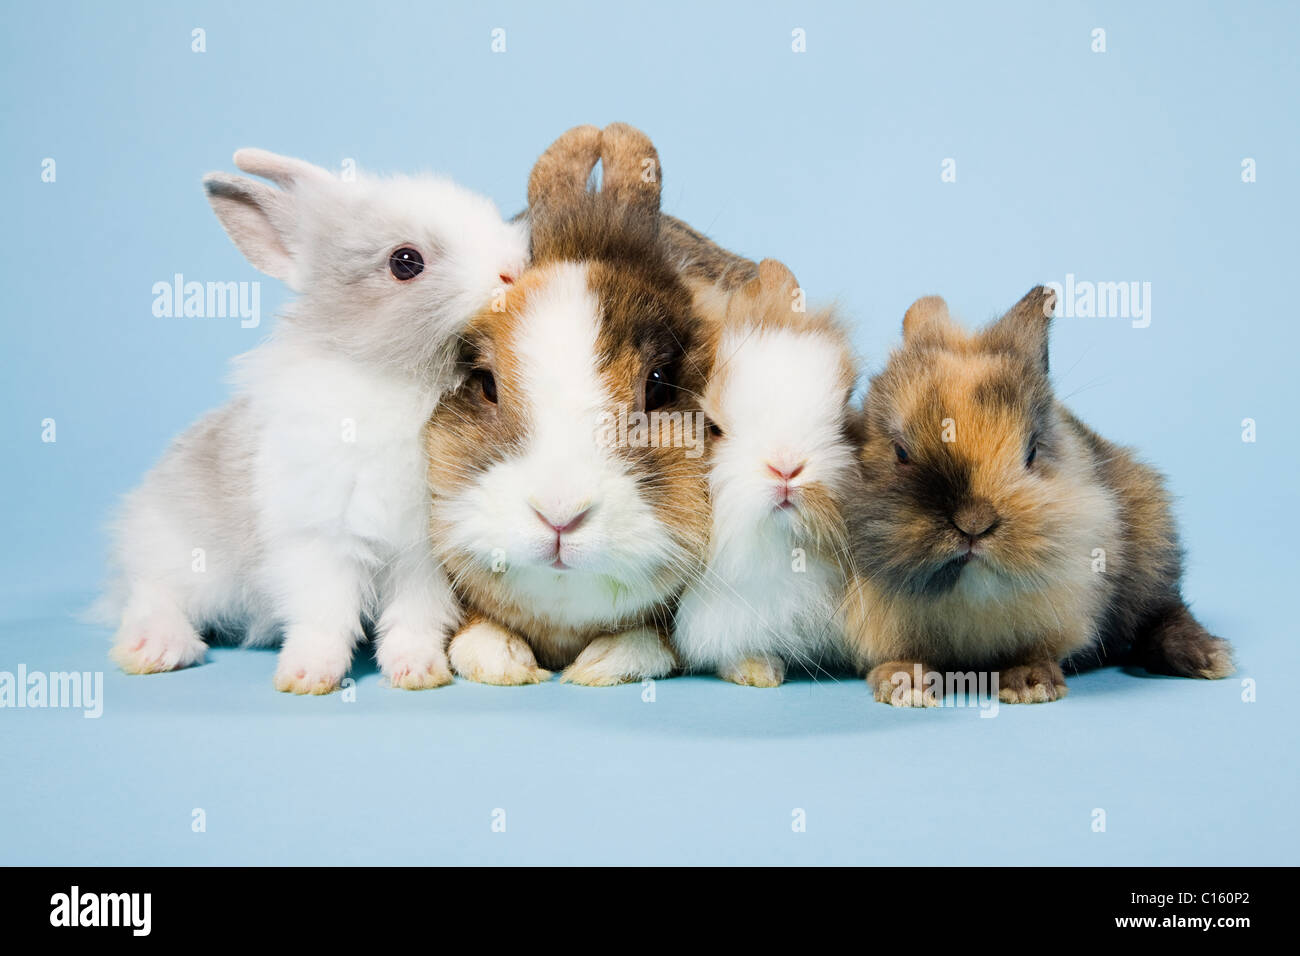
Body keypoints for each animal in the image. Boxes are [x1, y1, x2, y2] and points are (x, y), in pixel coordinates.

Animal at [103, 148, 528, 693]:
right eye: (405, 262)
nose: (512, 270)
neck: (404, 383)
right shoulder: (319, 541)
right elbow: (325, 615)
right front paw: (307, 675)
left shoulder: (423, 561)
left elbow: (414, 618)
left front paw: (417, 671)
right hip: (182, 554)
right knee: (151, 595)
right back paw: (156, 648)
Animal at [842, 286, 1235, 705]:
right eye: (900, 452)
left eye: (1031, 452)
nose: (974, 523)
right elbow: (903, 656)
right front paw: (905, 686)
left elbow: (1033, 650)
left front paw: (1029, 685)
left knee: (1164, 610)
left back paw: (1207, 657)